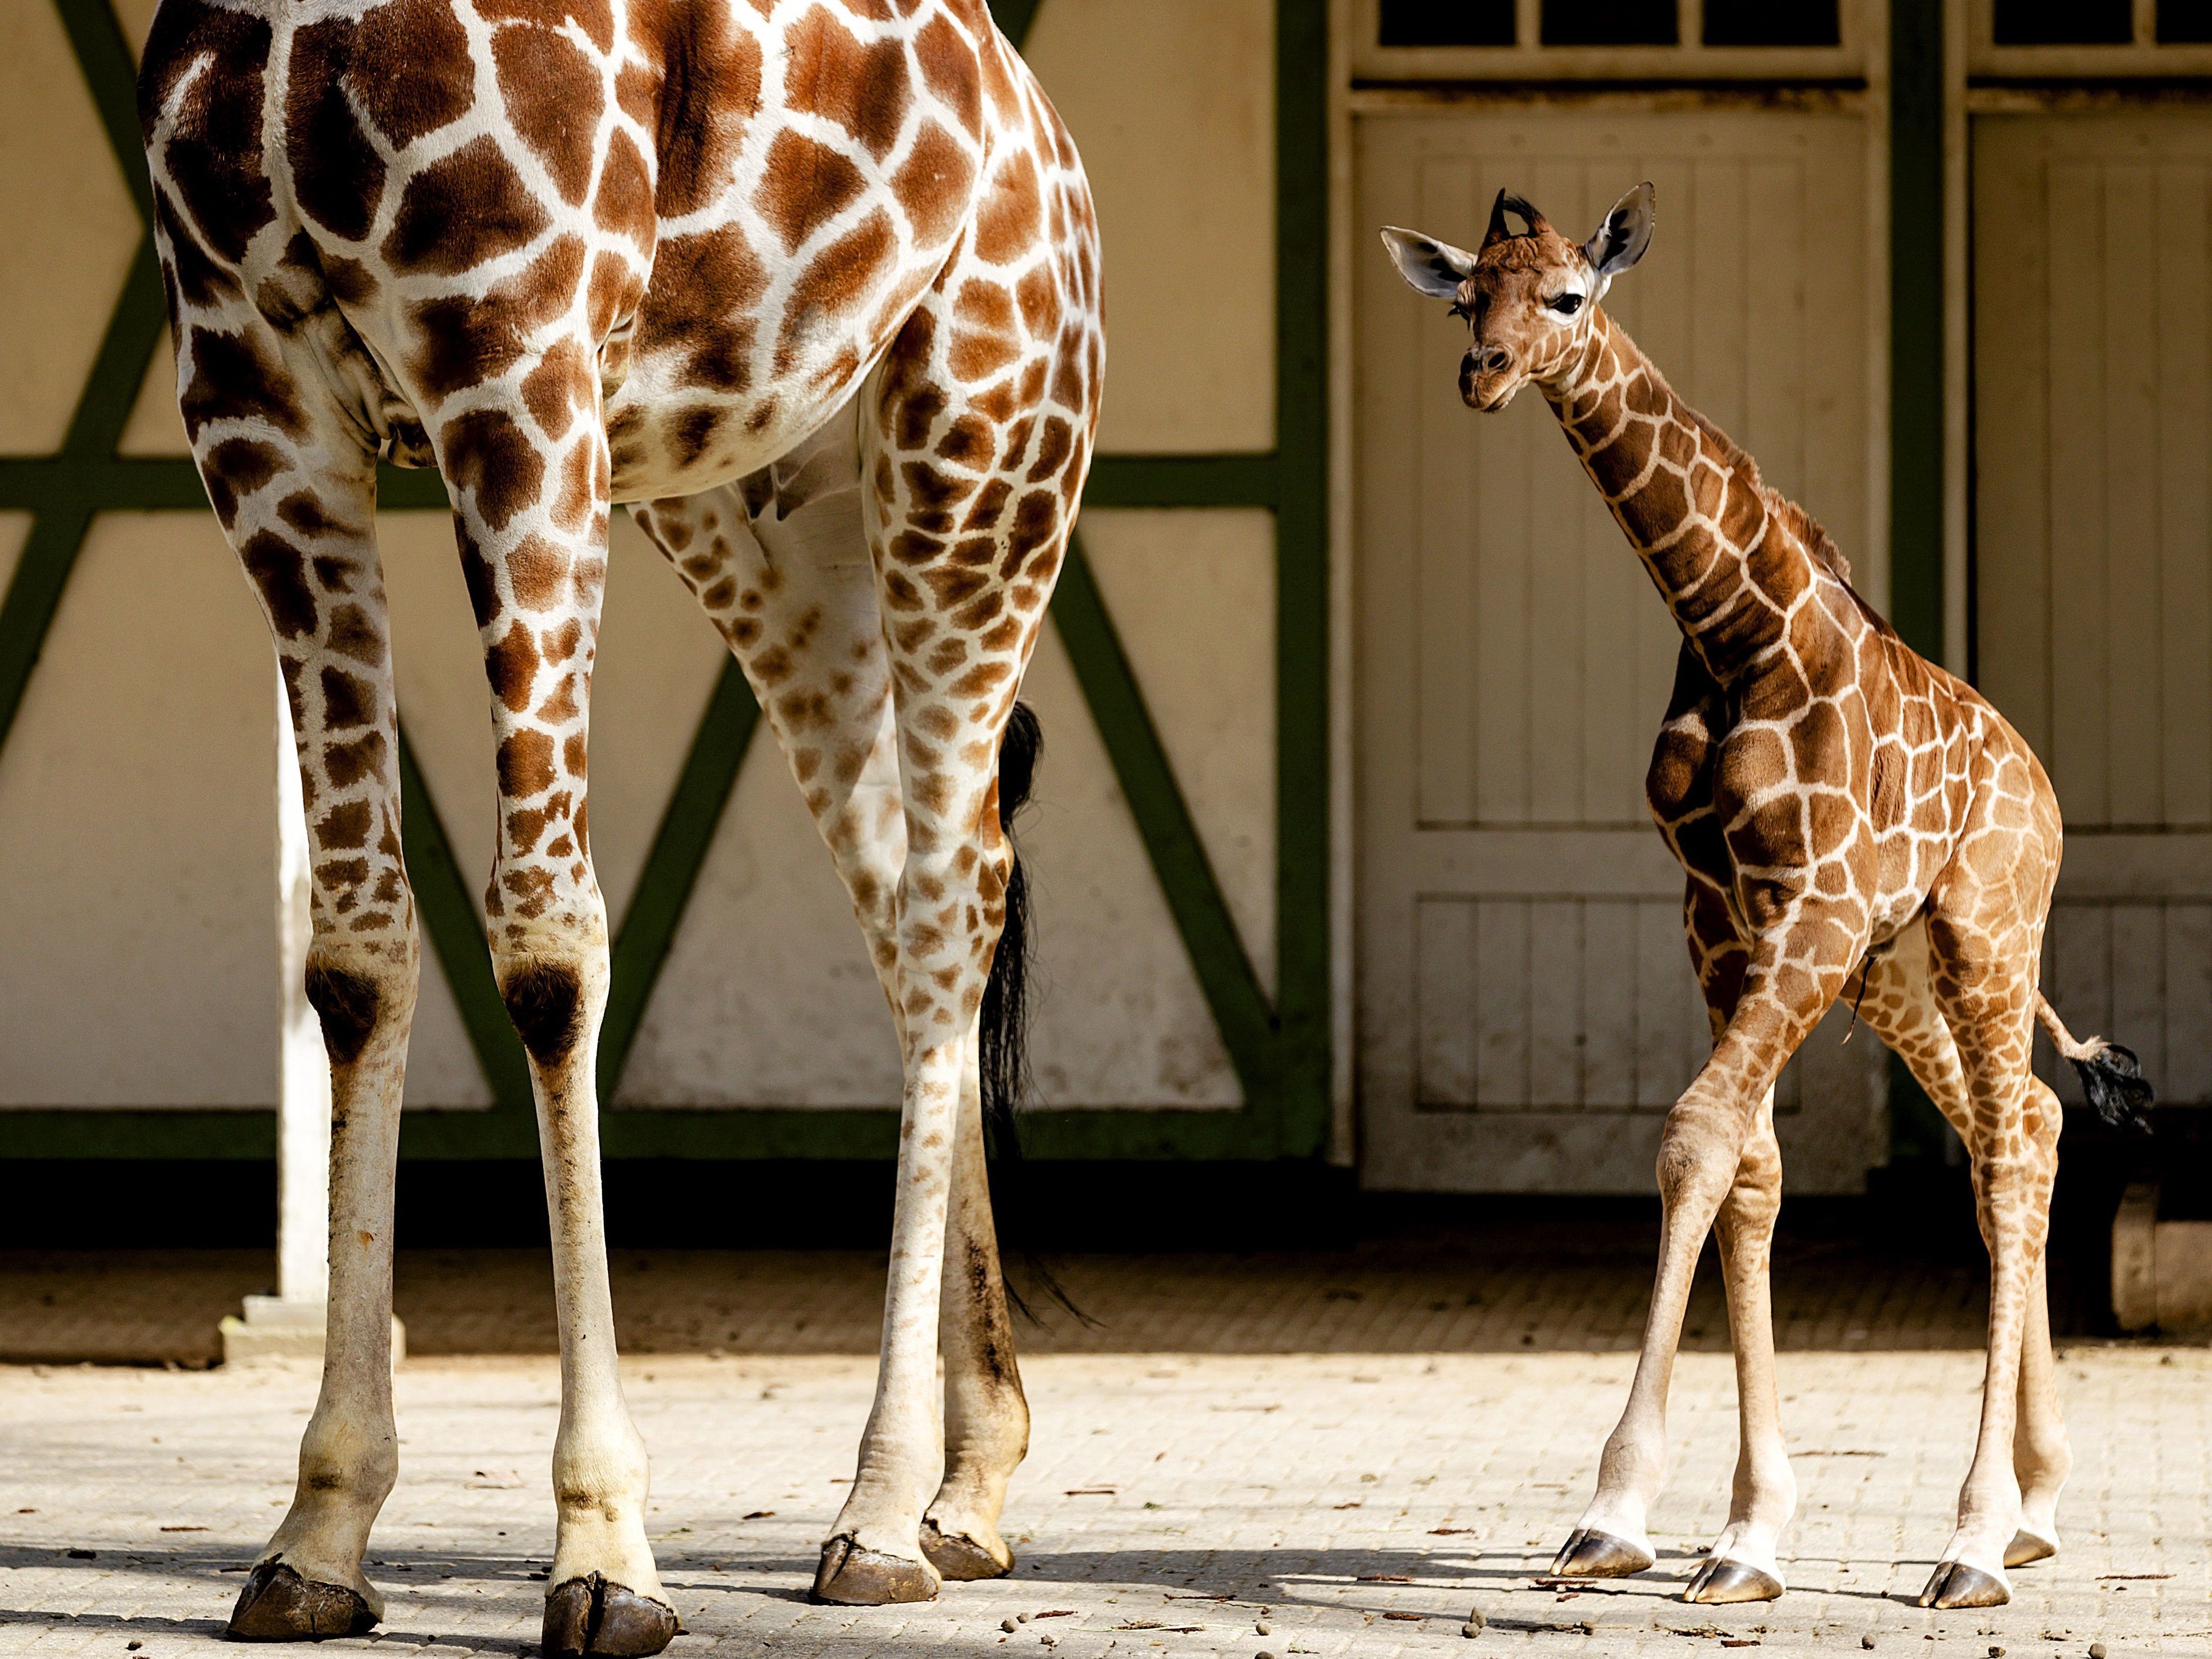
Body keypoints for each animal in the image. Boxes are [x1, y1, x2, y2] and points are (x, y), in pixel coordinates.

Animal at [137, 0, 1100, 1648]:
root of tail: (1046, 137)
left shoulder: (518, 373)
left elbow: (547, 951)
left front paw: (604, 1550)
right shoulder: (255, 403)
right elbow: (352, 954)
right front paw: (317, 1528)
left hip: (982, 462)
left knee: (953, 905)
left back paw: (875, 1512)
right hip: (764, 515)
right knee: (910, 891)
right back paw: (964, 1490)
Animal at [1381, 185, 2154, 1610]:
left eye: (1568, 295)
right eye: (1467, 298)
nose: (1486, 373)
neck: (1735, 630)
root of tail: (2044, 794)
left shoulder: (1817, 907)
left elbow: (1696, 1135)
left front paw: (1616, 1506)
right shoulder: (1720, 915)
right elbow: (1749, 1164)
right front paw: (1739, 1529)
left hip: (1982, 931)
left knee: (2018, 1143)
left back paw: (1974, 1538)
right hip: (1903, 974)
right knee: (2015, 1120)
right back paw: (2035, 1502)